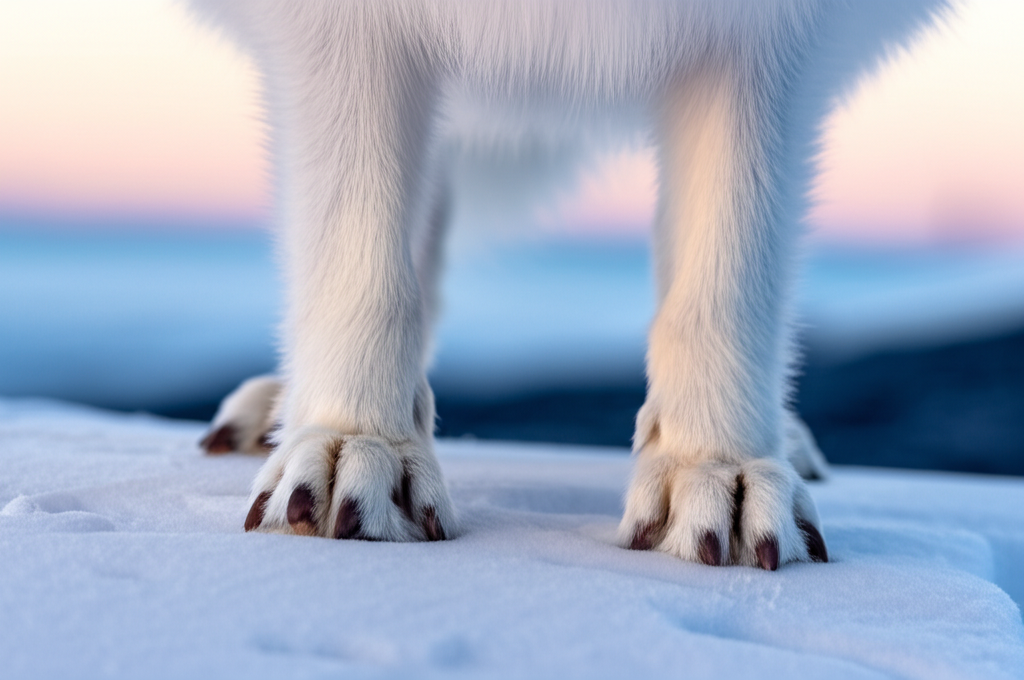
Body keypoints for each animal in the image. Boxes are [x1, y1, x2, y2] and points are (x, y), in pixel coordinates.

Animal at [191, 0, 951, 569]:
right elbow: (362, 253)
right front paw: (358, 443)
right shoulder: (345, 30)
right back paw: (283, 413)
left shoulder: (760, 40)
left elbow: (726, 278)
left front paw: (718, 468)